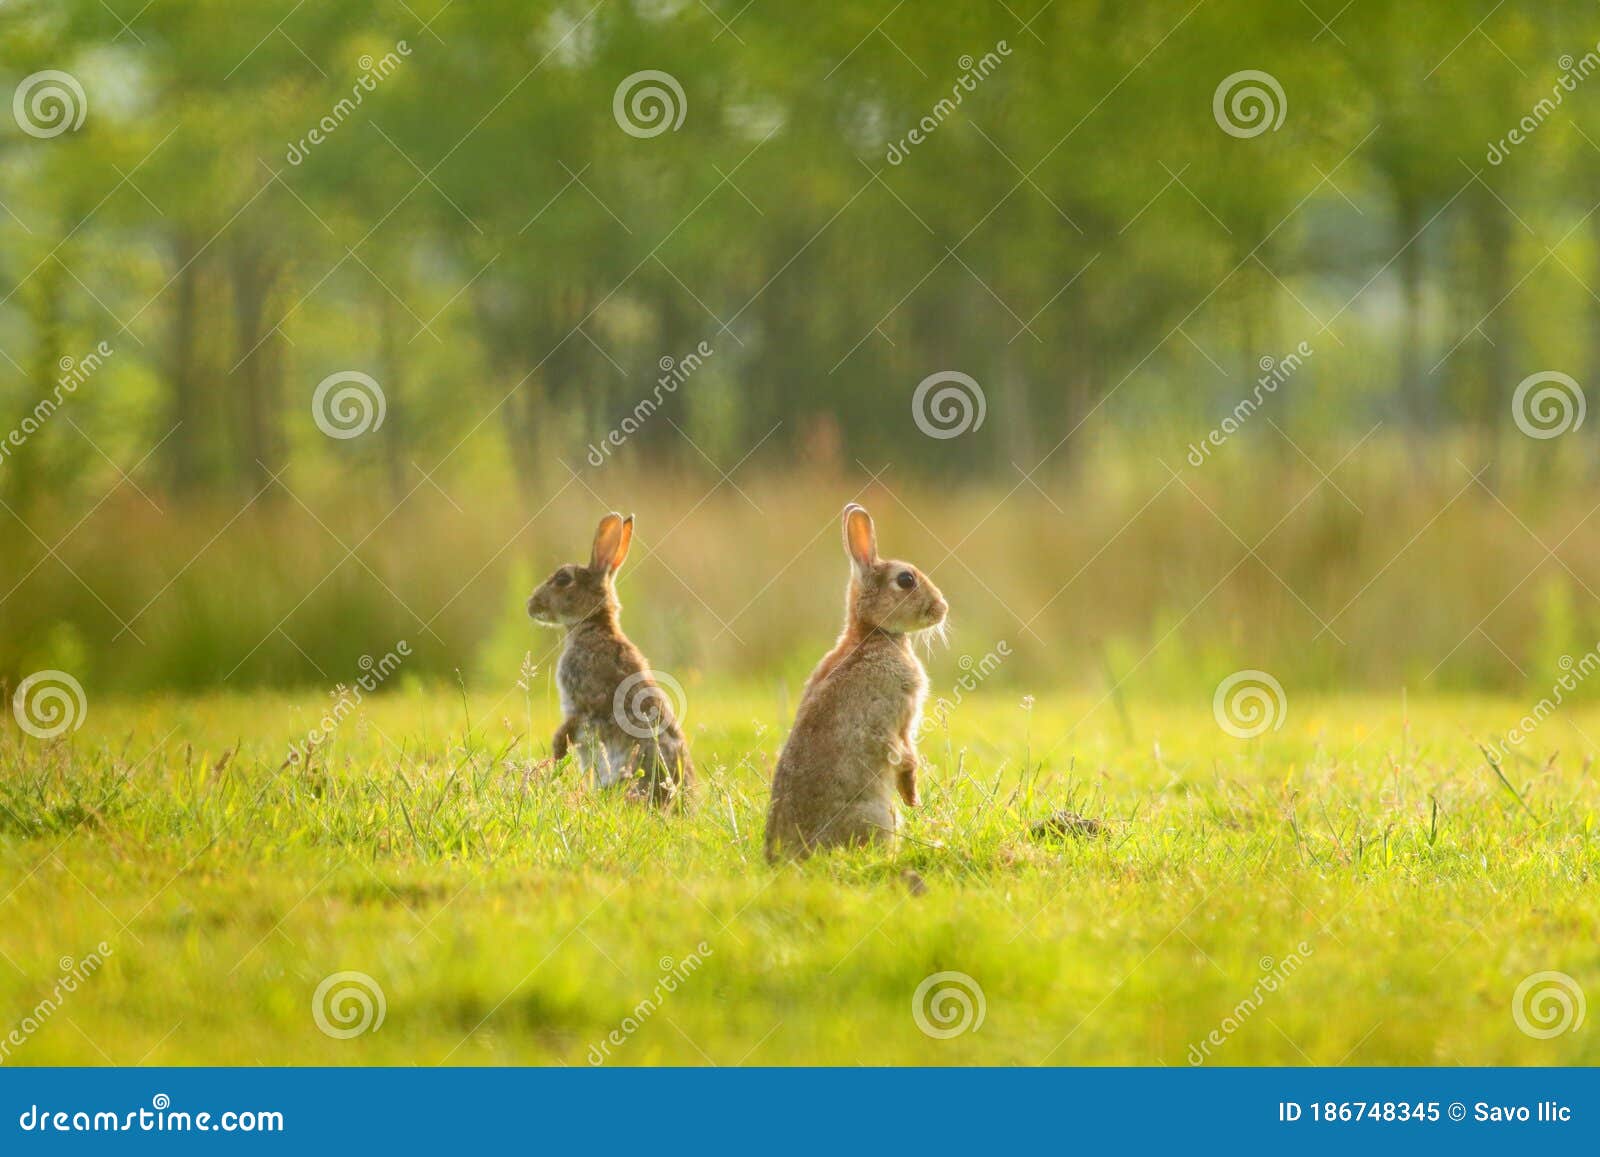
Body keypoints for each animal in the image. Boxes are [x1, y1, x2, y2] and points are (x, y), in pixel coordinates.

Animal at [526, 512, 692, 807]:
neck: (594, 625)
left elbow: (567, 730)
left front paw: (553, 758)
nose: (531, 605)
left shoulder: (582, 702)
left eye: (563, 579)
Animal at [764, 503, 948, 861]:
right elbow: (906, 756)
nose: (942, 609)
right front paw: (914, 799)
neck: (873, 633)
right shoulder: (900, 717)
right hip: (878, 816)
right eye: (906, 579)